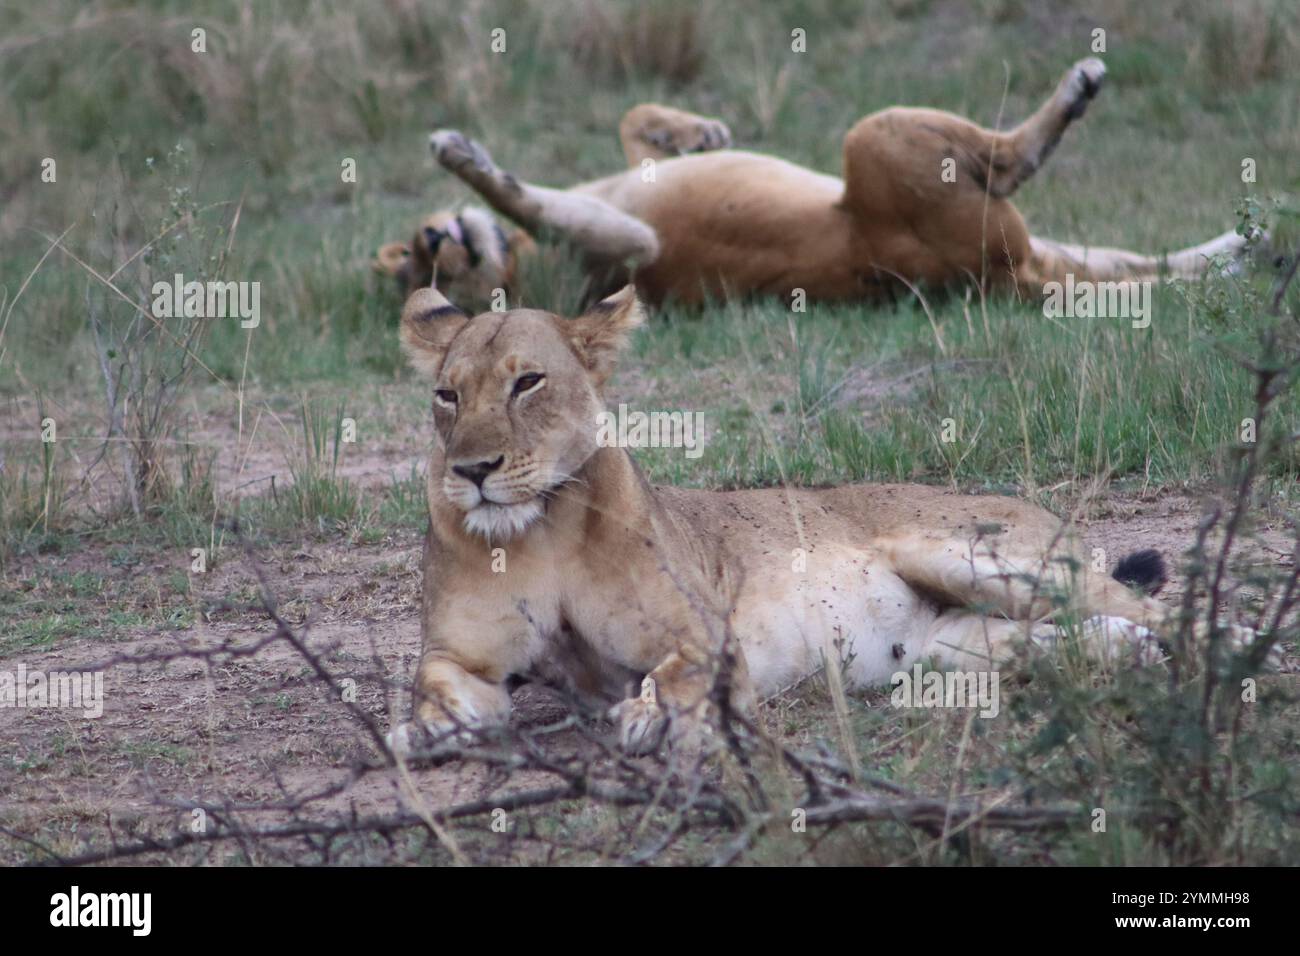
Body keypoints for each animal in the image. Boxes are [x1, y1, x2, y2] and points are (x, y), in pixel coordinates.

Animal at [385, 58, 1254, 309]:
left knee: (1149, 263)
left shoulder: (624, 186)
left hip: (1061, 249)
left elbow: (634, 119)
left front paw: (700, 131)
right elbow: (524, 193)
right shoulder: (629, 249)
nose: (430, 238)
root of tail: (1001, 278)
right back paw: (1078, 88)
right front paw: (460, 155)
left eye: (416, 264)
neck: (523, 260)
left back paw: (1246, 245)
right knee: (1013, 160)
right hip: (875, 135)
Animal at [387, 282, 1205, 757]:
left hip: (976, 558)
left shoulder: (703, 633)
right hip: (951, 651)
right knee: (1066, 636)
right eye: (447, 395)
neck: (541, 528)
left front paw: (653, 718)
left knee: (1153, 609)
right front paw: (420, 733)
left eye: (527, 383)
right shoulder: (458, 656)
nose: (473, 472)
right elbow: (438, 687)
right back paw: (1132, 654)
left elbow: (677, 676)